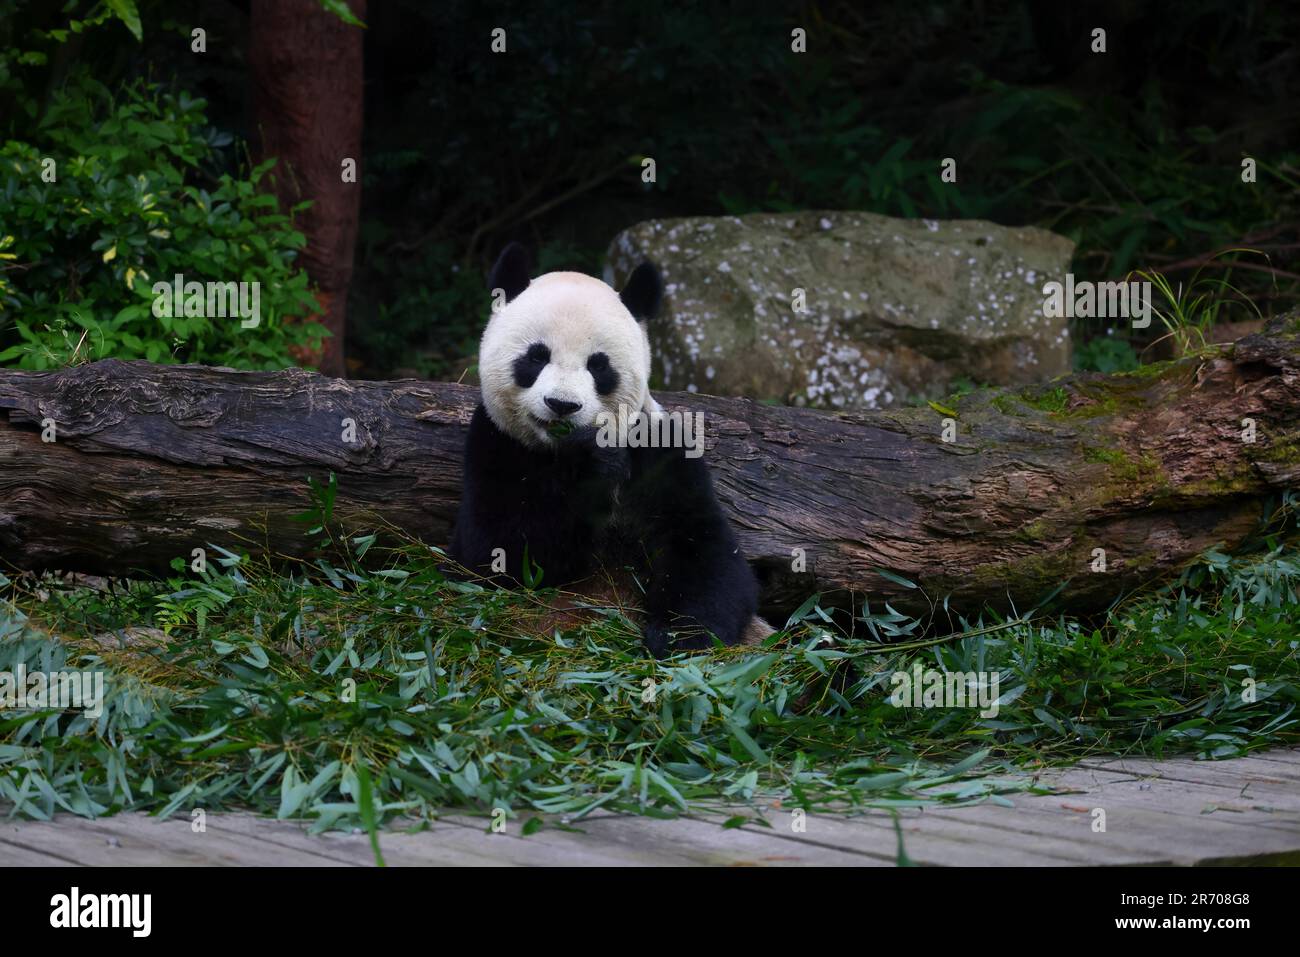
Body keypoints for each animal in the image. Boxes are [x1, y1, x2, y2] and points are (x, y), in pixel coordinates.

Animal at [450, 242, 770, 657]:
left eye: (599, 366)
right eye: (536, 357)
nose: (562, 405)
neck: (557, 450)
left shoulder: (660, 453)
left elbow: (705, 546)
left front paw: (679, 638)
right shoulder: (496, 442)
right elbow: (494, 552)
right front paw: (588, 466)